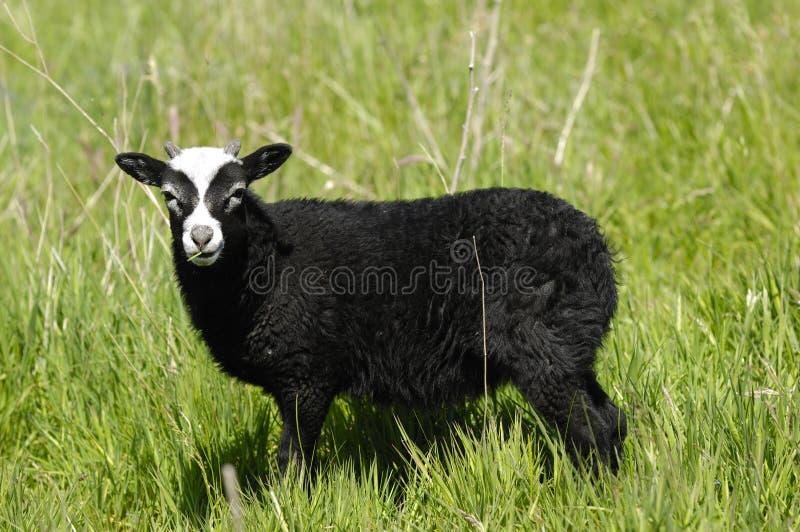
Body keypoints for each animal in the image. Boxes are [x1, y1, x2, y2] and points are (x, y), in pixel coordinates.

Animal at [114, 140, 627, 474]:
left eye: (237, 193)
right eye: (170, 197)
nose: (201, 239)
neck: (264, 269)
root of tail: (596, 245)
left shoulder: (307, 374)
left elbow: (293, 462)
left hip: (542, 346)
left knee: (590, 428)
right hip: (571, 345)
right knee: (612, 419)